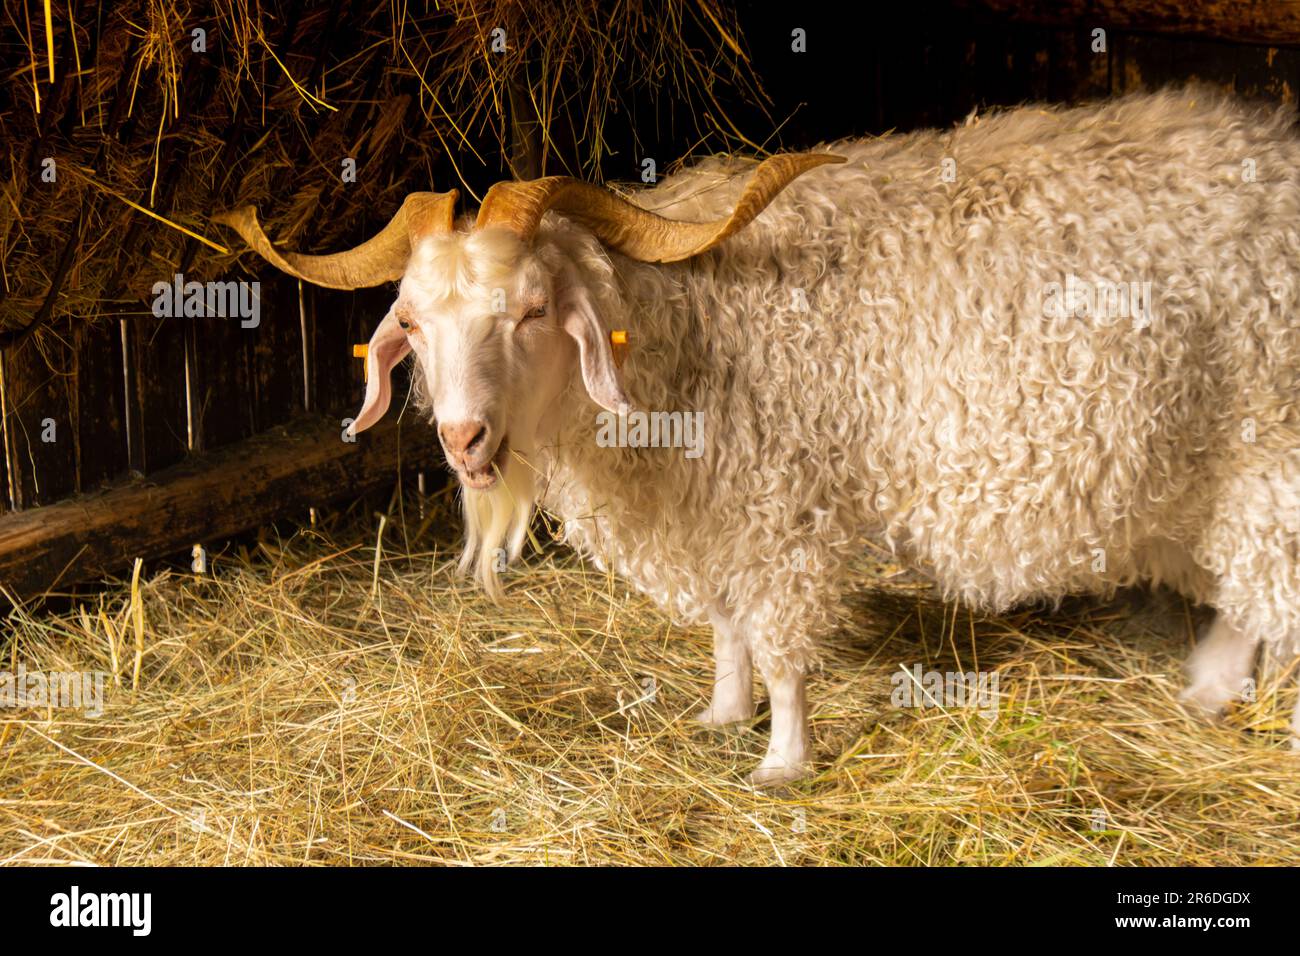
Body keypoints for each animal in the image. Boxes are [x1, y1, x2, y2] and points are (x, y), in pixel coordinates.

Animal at [220, 86, 1300, 784]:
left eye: (529, 310)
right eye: (412, 320)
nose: (465, 438)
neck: (685, 325)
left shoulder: (780, 506)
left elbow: (780, 643)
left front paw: (783, 760)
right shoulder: (715, 510)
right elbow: (728, 628)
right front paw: (721, 713)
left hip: (1264, 441)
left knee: (1267, 588)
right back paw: (1207, 688)